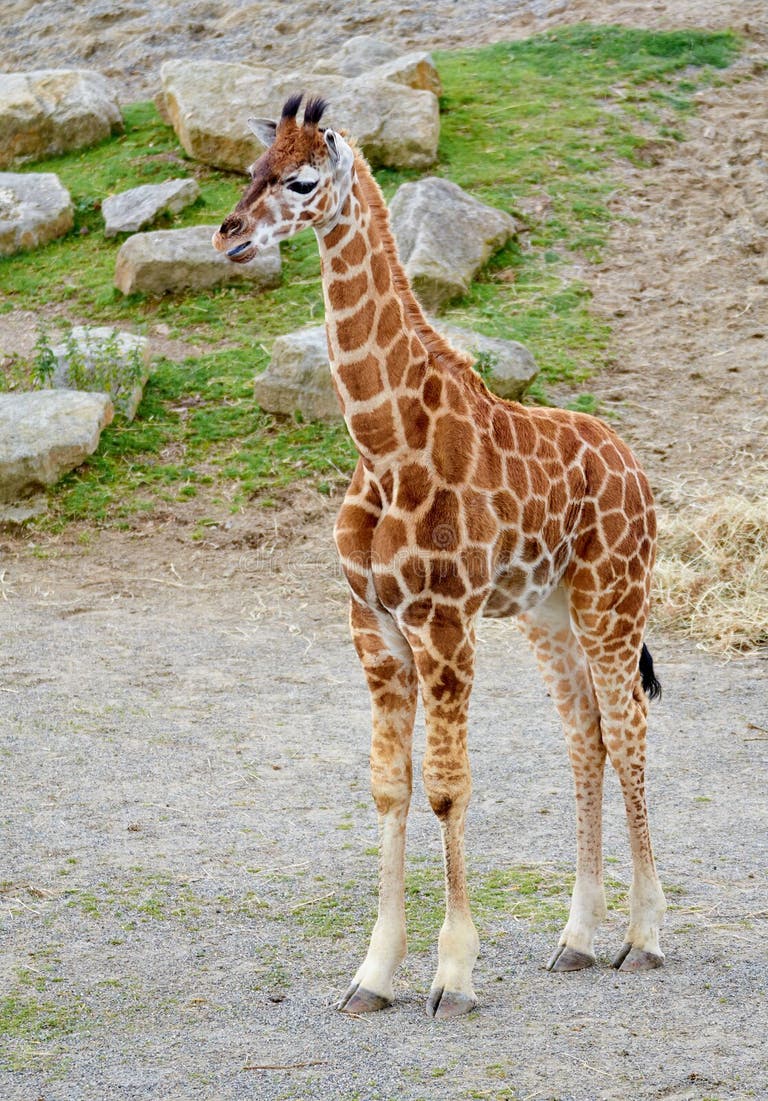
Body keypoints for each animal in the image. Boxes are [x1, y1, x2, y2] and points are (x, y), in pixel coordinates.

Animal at [213, 93, 667, 1019]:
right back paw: (577, 939)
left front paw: (452, 974)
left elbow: (448, 785)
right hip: (548, 611)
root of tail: (635, 466)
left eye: (301, 180)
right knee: (587, 736)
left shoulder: (446, 621)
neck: (385, 445)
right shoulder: (374, 625)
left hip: (614, 597)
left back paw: (644, 938)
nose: (228, 234)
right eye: (251, 168)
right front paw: (374, 975)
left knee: (630, 729)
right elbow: (390, 785)